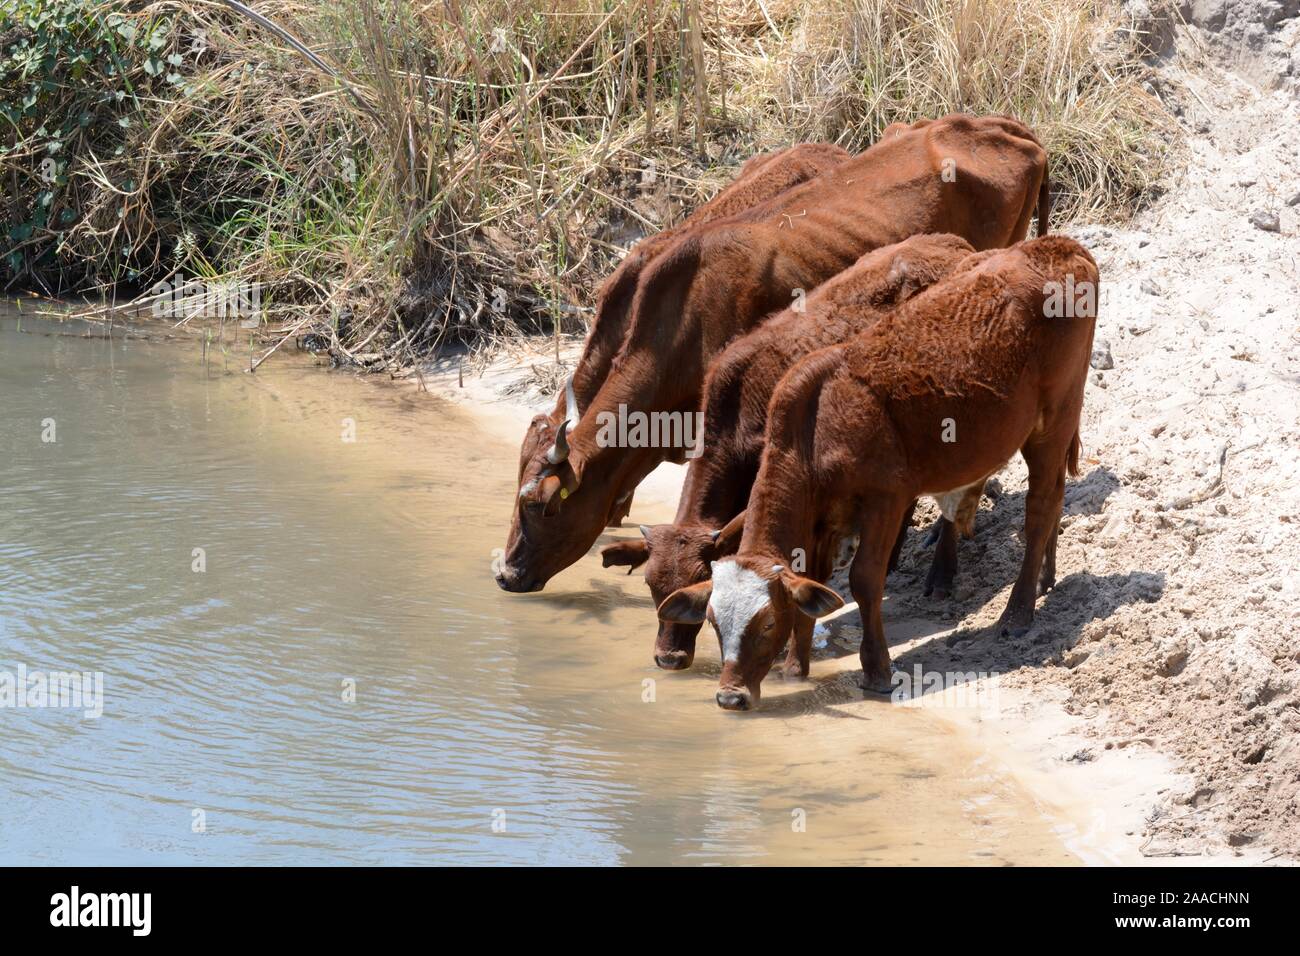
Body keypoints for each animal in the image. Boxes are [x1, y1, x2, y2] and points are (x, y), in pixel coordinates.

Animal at [599, 234, 980, 672]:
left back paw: (942, 575)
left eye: (699, 580)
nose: (669, 658)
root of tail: (950, 245)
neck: (737, 417)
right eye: (651, 584)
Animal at [656, 235, 1098, 711]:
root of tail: (1058, 246)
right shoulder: (821, 519)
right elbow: (814, 581)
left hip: (1054, 419)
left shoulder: (886, 500)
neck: (814, 427)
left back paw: (1017, 612)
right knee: (1054, 499)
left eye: (767, 624)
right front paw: (795, 669)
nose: (730, 696)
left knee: (1042, 505)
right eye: (714, 623)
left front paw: (877, 669)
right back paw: (1045, 579)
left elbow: (865, 580)